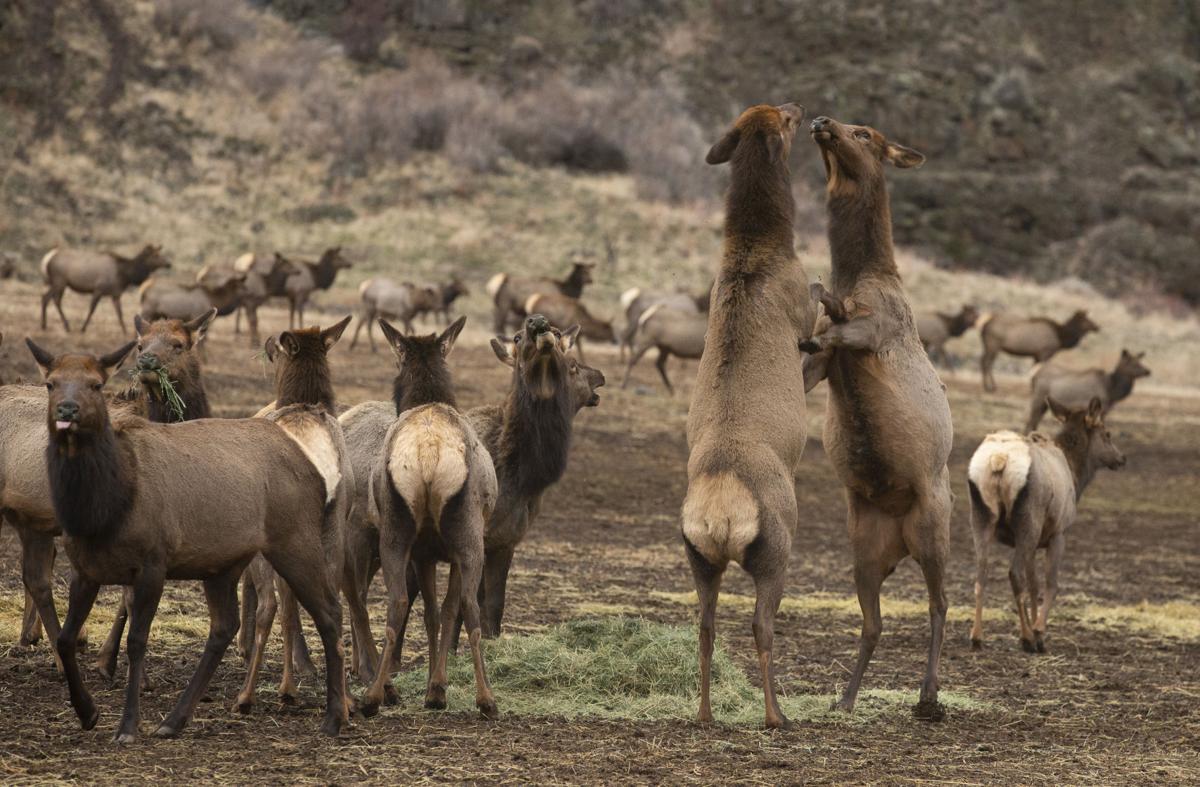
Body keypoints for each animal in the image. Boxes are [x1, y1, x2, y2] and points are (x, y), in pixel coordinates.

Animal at [2, 311, 216, 675]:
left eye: (178, 344)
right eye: (141, 344)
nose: (146, 361)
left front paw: (108, 659)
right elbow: (129, 598)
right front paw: (109, 662)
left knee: (36, 571)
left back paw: (37, 637)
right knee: (37, 577)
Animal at [26, 335, 348, 743]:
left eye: (97, 384)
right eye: (50, 383)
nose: (67, 409)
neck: (106, 508)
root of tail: (313, 468)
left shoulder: (153, 562)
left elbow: (137, 642)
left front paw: (128, 726)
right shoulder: (84, 568)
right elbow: (66, 639)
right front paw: (88, 712)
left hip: (294, 539)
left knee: (329, 612)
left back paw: (334, 717)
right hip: (225, 563)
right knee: (224, 626)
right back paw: (175, 719)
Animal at [40, 244, 171, 333]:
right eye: (156, 255)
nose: (168, 264)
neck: (124, 276)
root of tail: (47, 259)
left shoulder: (116, 294)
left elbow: (120, 313)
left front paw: (125, 331)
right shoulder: (99, 289)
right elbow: (92, 309)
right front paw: (83, 328)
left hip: (58, 283)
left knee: (48, 298)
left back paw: (46, 325)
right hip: (59, 281)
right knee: (51, 299)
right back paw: (62, 326)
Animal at [799, 114, 952, 721]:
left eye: (865, 133)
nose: (821, 122)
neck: (858, 274)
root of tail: (899, 545)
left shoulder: (878, 329)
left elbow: (841, 326)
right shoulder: (821, 365)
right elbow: (814, 347)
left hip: (934, 518)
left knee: (939, 605)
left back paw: (928, 696)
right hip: (863, 546)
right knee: (873, 622)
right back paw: (844, 698)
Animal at [968, 397, 1126, 653]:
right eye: (1107, 433)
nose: (1121, 458)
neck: (1076, 476)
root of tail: (999, 460)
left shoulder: (1036, 542)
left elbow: (1034, 584)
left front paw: (1036, 630)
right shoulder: (1058, 533)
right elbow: (1052, 584)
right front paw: (1039, 632)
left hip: (981, 518)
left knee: (981, 574)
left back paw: (977, 636)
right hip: (1027, 521)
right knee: (1014, 574)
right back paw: (1026, 637)